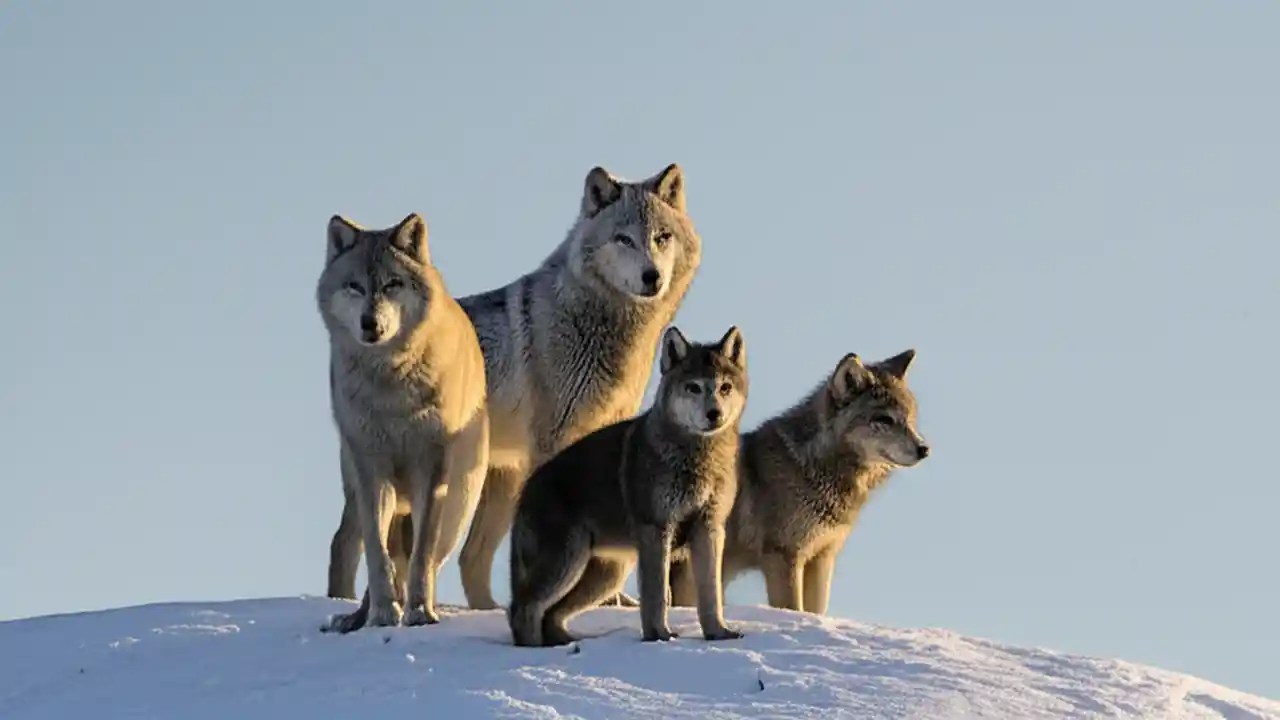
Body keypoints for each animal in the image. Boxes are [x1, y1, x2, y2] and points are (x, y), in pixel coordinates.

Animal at [317, 213, 489, 632]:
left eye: (392, 283)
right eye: (355, 286)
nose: (370, 323)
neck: (389, 386)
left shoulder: (432, 468)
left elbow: (421, 555)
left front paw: (419, 613)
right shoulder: (369, 470)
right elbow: (377, 557)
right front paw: (382, 615)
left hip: (457, 507)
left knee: (428, 558)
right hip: (366, 492)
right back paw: (359, 616)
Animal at [326, 164, 702, 610]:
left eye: (662, 237)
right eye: (623, 239)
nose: (652, 277)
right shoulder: (554, 442)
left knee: (466, 558)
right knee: (346, 543)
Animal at [508, 326, 747, 647]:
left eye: (725, 388)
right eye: (694, 388)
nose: (715, 414)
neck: (697, 460)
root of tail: (525, 490)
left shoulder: (709, 528)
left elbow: (711, 595)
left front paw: (718, 633)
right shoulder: (656, 528)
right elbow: (656, 596)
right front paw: (659, 636)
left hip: (604, 576)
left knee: (550, 614)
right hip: (568, 563)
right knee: (522, 608)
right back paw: (532, 649)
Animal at [669, 349, 929, 615]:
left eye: (911, 418)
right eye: (885, 419)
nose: (924, 449)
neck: (811, 467)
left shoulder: (822, 558)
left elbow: (816, 612)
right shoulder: (783, 557)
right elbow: (793, 608)